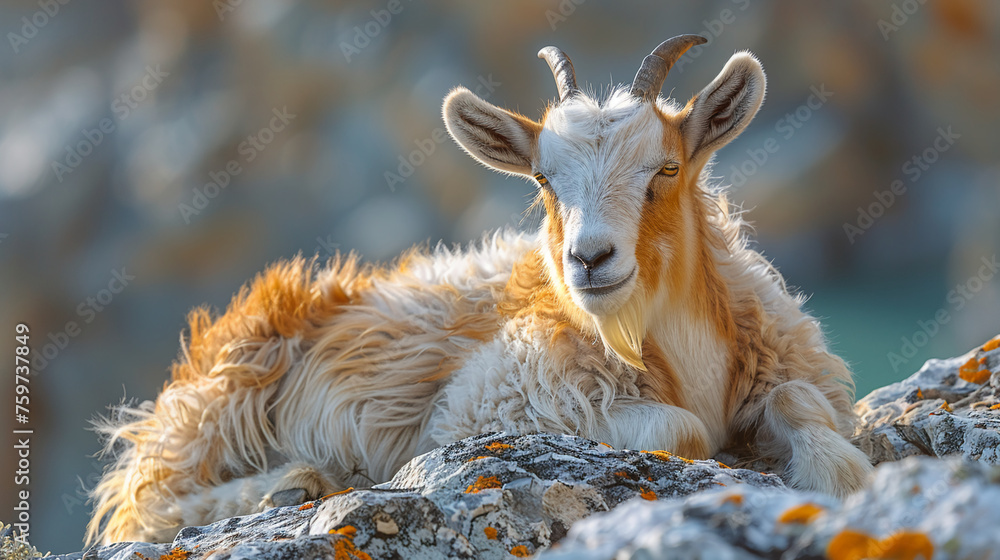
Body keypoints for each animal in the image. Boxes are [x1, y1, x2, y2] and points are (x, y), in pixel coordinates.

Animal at [87, 35, 873, 545]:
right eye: (544, 180)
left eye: (667, 168)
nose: (590, 259)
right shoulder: (487, 409)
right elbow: (683, 430)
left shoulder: (785, 363)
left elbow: (798, 401)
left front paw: (839, 475)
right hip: (220, 405)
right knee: (146, 505)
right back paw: (294, 483)